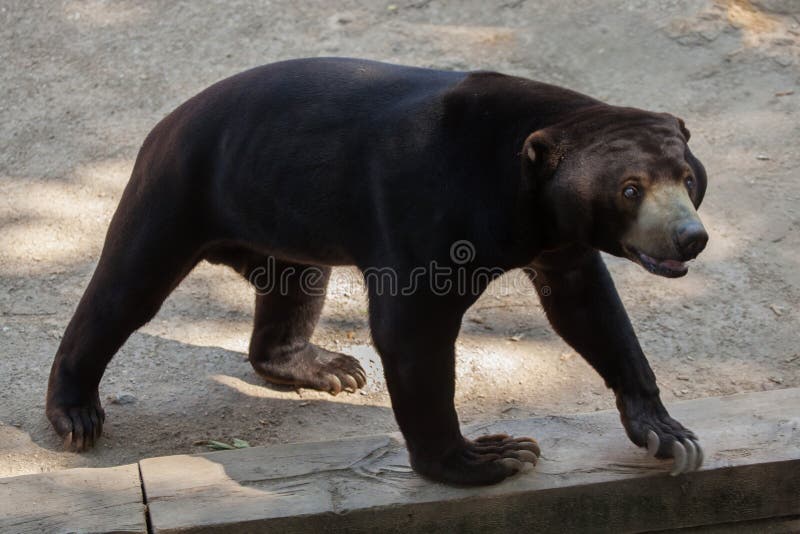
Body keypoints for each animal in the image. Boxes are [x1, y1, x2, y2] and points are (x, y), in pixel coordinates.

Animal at [46, 57, 708, 486]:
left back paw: (331, 367)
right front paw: (494, 455)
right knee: (125, 291)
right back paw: (76, 416)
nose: (692, 238)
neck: (524, 193)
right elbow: (412, 331)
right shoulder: (430, 206)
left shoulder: (559, 241)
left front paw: (669, 435)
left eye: (688, 179)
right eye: (630, 189)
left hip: (284, 218)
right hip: (180, 189)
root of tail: (167, 121)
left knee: (295, 287)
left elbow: (589, 310)